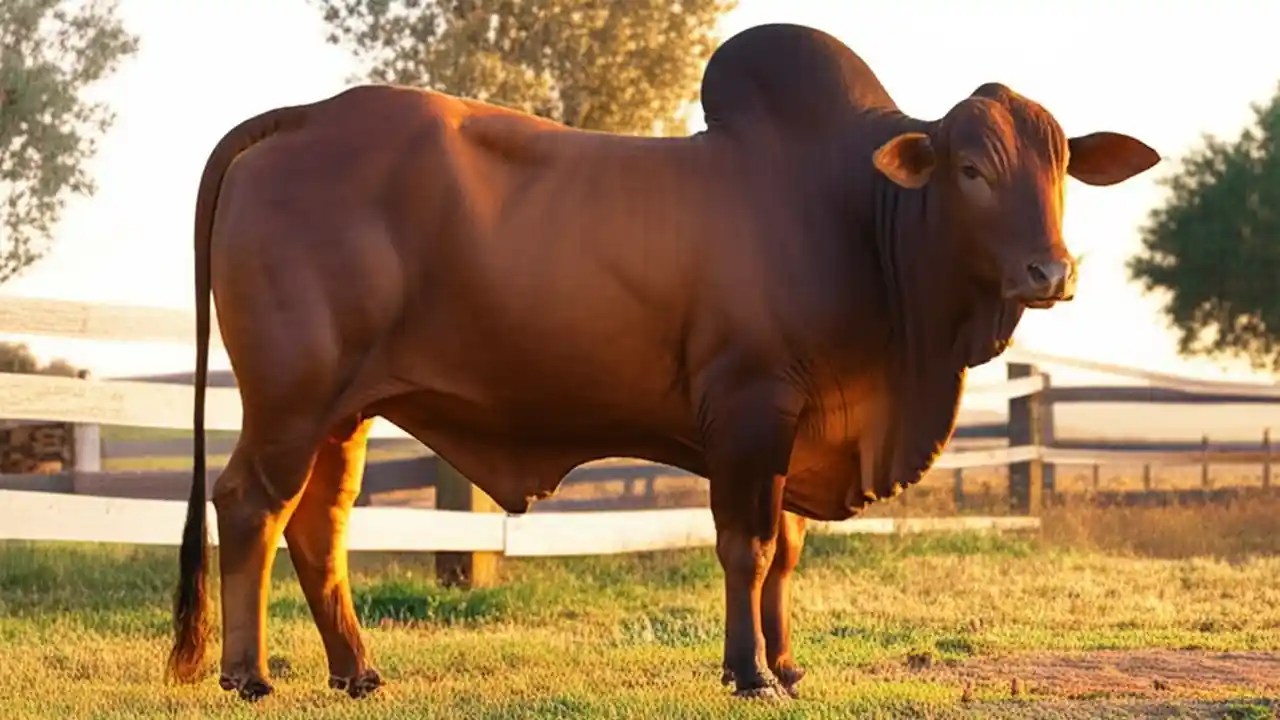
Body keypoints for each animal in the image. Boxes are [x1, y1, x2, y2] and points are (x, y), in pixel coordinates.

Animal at [166, 22, 1158, 701]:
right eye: (970, 169)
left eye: (1061, 168)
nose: (1051, 272)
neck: (861, 216)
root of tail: (302, 118)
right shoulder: (752, 408)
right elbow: (748, 545)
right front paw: (750, 674)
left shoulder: (799, 427)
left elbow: (787, 552)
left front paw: (787, 664)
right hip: (291, 395)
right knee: (250, 505)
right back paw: (248, 676)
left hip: (347, 408)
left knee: (317, 525)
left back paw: (358, 671)